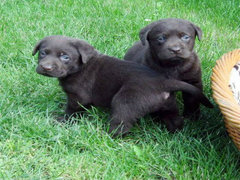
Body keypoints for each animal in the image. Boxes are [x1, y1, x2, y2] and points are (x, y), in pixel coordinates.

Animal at [32, 35, 213, 136]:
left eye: (65, 57)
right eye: (43, 53)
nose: (46, 68)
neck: (80, 67)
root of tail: (163, 82)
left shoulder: (77, 97)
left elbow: (71, 110)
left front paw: (62, 120)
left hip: (125, 101)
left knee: (122, 124)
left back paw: (106, 136)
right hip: (168, 105)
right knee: (175, 120)